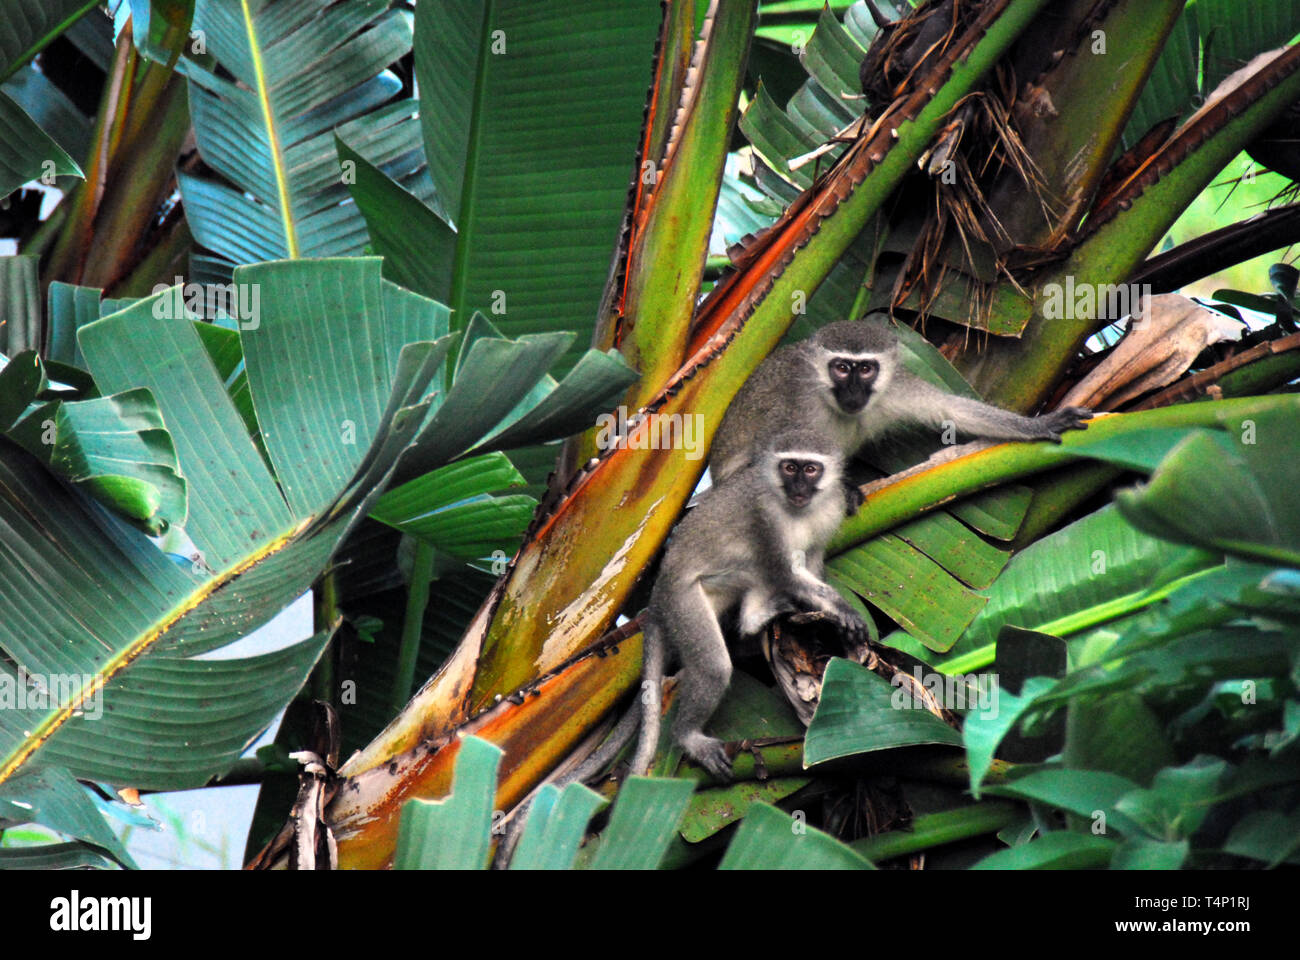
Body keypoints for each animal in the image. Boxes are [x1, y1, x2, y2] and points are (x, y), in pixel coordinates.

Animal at [633, 428, 868, 781]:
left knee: (758, 570)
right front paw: (843, 610)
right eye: (789, 467)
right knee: (714, 666)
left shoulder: (832, 508)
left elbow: (808, 563)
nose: (798, 488)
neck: (800, 510)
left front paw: (817, 622)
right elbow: (787, 573)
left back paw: (753, 620)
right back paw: (687, 736)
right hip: (682, 600)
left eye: (810, 469)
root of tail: (659, 589)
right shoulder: (765, 517)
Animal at [708, 317, 1092, 510]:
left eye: (865, 370)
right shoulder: (792, 400)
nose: (853, 391)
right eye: (841, 368)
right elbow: (769, 460)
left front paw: (1040, 424)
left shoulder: (896, 387)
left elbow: (951, 408)